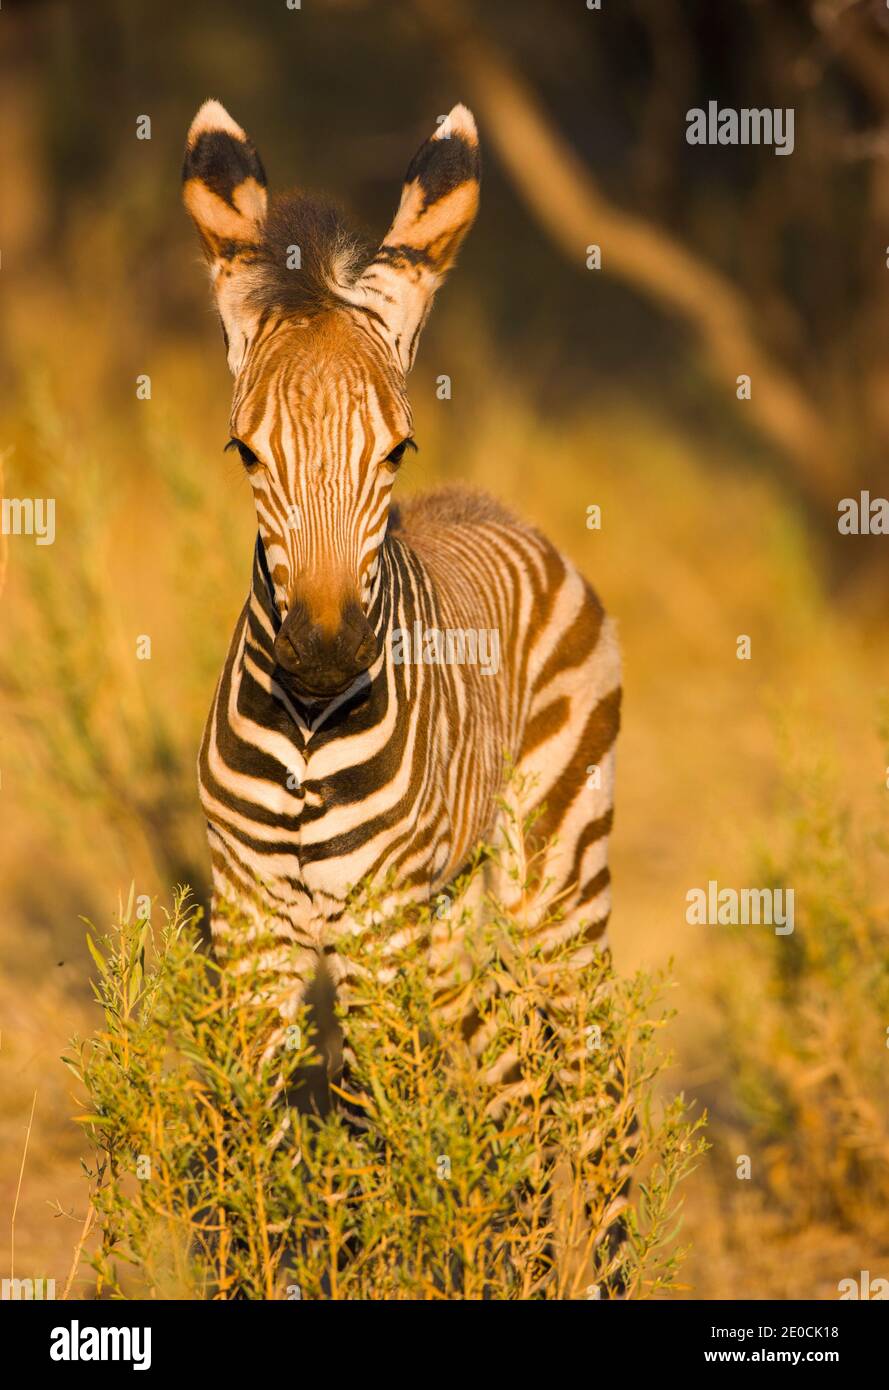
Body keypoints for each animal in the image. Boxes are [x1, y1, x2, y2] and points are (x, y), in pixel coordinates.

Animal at [181, 99, 621, 1093]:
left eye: (395, 451)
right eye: (245, 453)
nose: (324, 653)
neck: (308, 735)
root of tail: (487, 505)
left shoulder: (378, 927)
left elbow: (382, 1112)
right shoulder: (250, 924)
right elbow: (247, 1121)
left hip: (557, 870)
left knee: (593, 1067)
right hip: (451, 909)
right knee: (504, 1071)